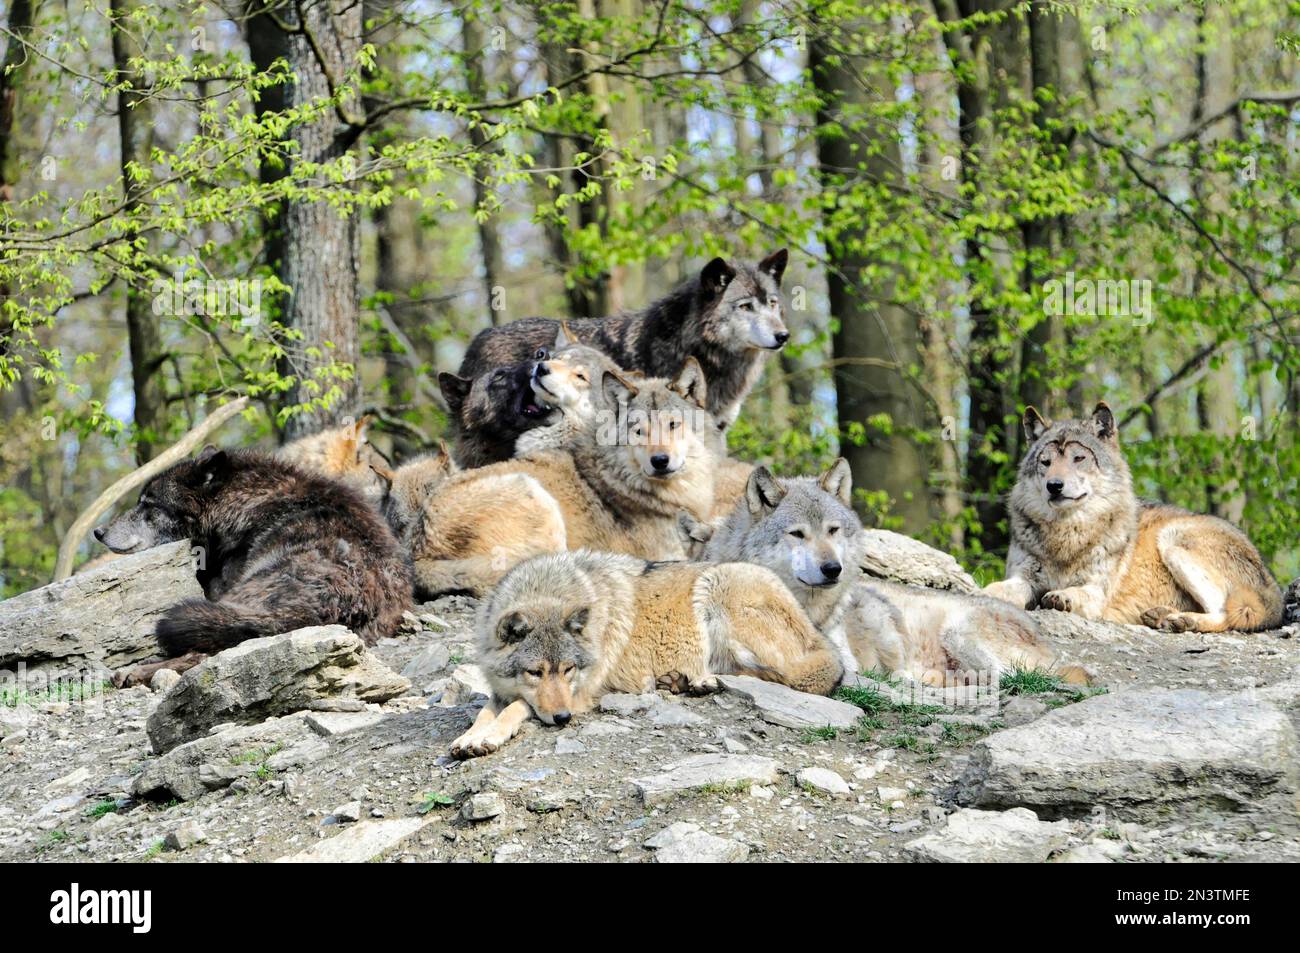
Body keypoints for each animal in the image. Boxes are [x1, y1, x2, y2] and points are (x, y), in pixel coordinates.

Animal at [448, 549, 842, 758]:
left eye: (568, 670)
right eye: (535, 672)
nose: (562, 718)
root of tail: (819, 635)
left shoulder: (579, 695)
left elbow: (518, 706)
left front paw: (489, 736)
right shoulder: (501, 688)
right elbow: (487, 709)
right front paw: (470, 737)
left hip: (717, 590)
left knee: (772, 676)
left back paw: (701, 682)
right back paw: (680, 682)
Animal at [983, 403, 1284, 633]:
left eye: (1079, 458)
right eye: (1045, 462)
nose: (1054, 485)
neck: (1067, 534)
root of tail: (1274, 588)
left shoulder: (1098, 590)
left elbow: (1079, 592)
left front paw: (1063, 595)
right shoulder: (1022, 577)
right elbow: (1000, 589)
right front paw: (981, 591)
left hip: (1174, 539)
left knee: (1227, 614)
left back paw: (1182, 620)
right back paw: (1161, 615)